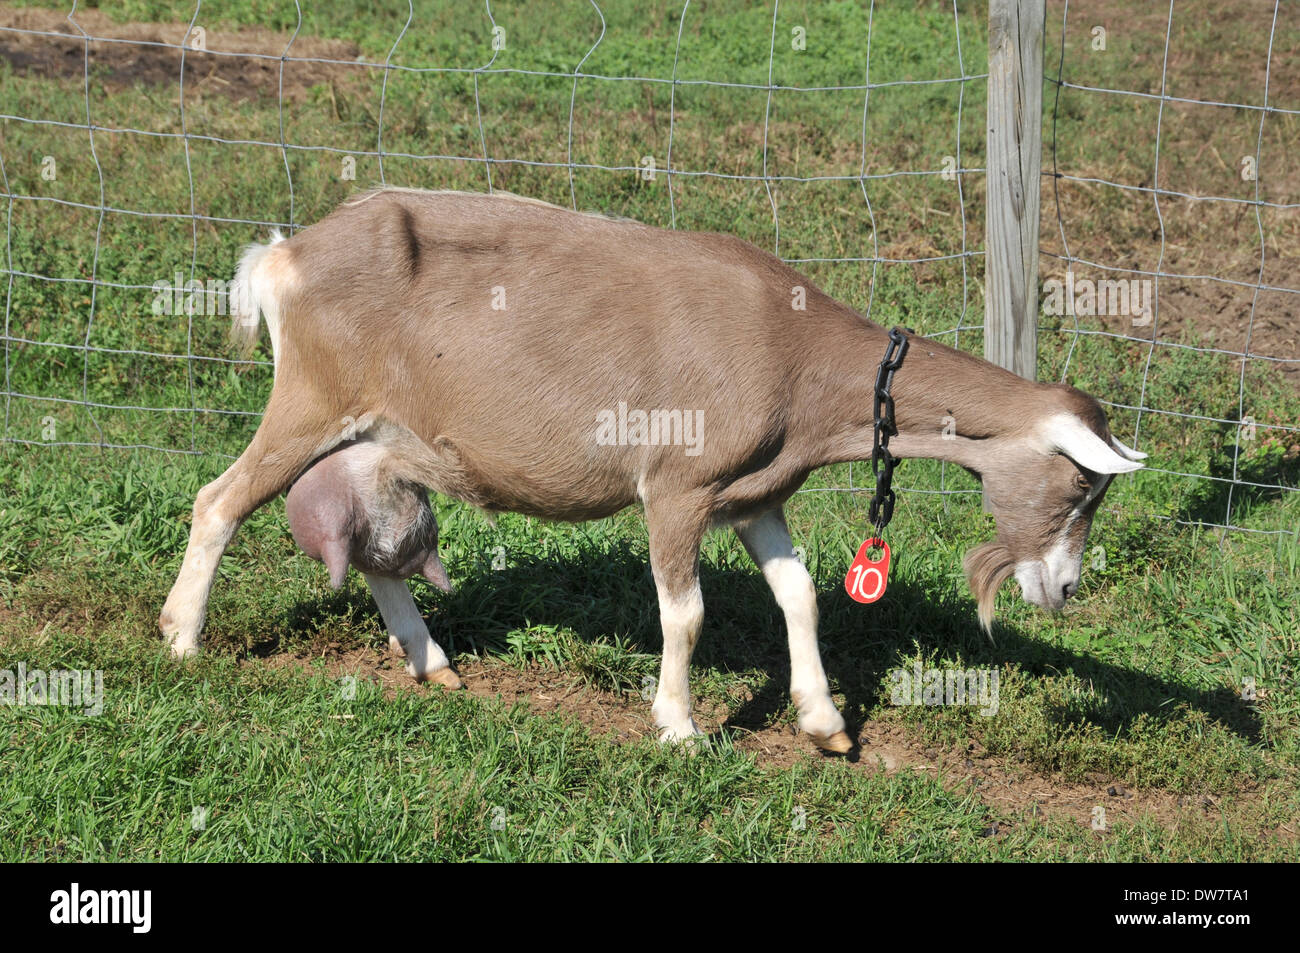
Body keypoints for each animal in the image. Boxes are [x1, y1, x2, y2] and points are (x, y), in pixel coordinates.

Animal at [159, 188, 1145, 753]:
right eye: (1077, 484)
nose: (1064, 589)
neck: (799, 356)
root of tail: (285, 255)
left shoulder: (755, 495)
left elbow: (800, 594)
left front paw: (825, 723)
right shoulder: (679, 486)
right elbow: (687, 612)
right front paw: (679, 727)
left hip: (370, 434)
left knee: (370, 538)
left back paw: (432, 662)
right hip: (311, 399)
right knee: (218, 500)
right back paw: (182, 638)